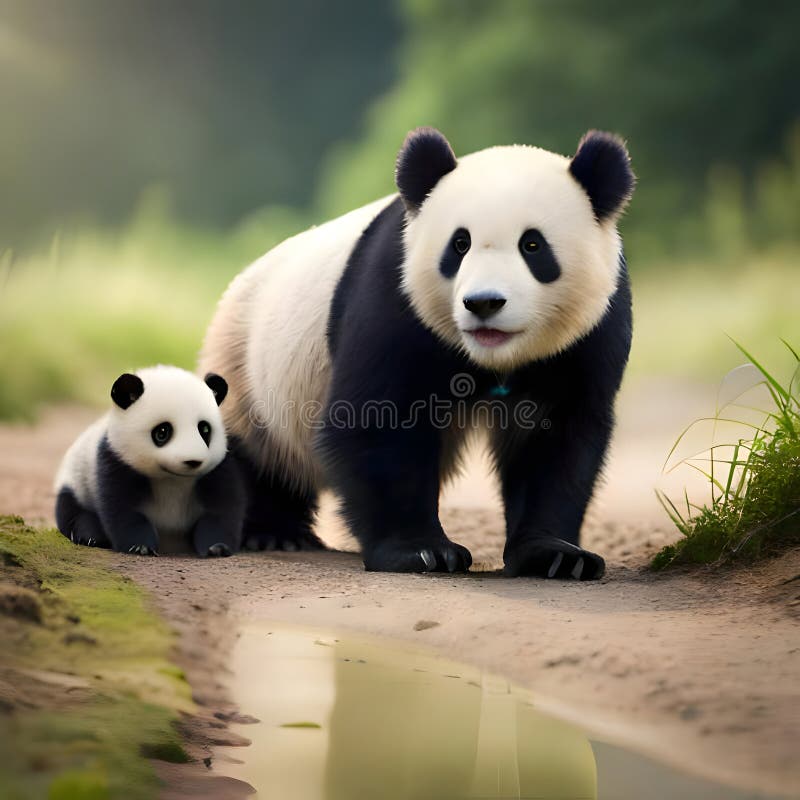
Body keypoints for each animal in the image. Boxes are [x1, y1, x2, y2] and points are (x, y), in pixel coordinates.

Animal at [54, 365, 245, 557]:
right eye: (162, 432)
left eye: (204, 429)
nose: (193, 461)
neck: (174, 480)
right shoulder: (116, 461)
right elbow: (124, 510)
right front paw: (140, 547)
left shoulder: (217, 469)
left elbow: (221, 510)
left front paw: (217, 547)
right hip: (77, 482)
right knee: (72, 511)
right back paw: (92, 536)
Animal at [200, 127, 634, 579]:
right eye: (459, 244)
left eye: (532, 245)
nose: (484, 303)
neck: (492, 358)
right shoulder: (396, 293)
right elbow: (380, 420)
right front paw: (421, 552)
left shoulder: (591, 330)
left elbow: (554, 439)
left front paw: (557, 556)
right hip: (245, 363)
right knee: (257, 454)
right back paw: (275, 532)